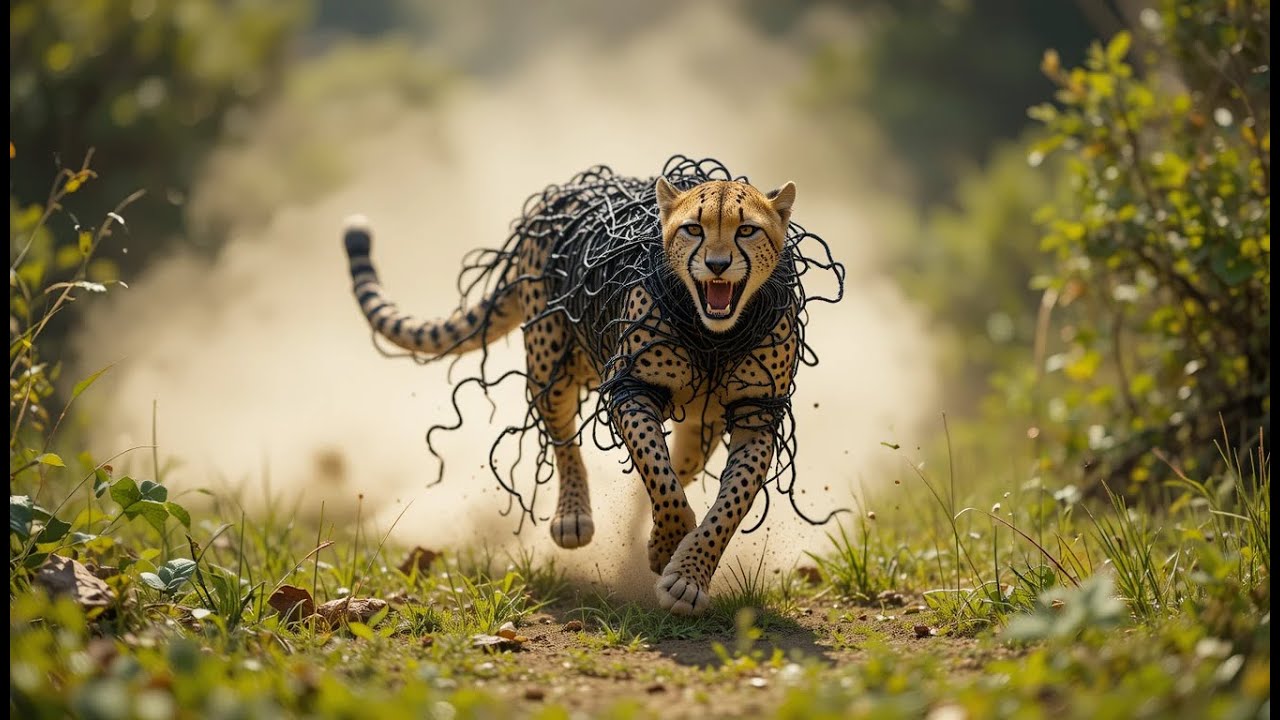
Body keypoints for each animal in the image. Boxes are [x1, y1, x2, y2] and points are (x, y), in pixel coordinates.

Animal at [343, 157, 842, 615]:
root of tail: (557, 198)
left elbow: (726, 503)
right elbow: (661, 480)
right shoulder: (632, 388)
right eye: (693, 229)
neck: (713, 334)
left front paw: (686, 572)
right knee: (563, 438)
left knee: (675, 467)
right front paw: (668, 547)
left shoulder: (757, 413)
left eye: (747, 231)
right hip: (552, 362)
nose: (717, 264)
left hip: (701, 425)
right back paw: (573, 517)